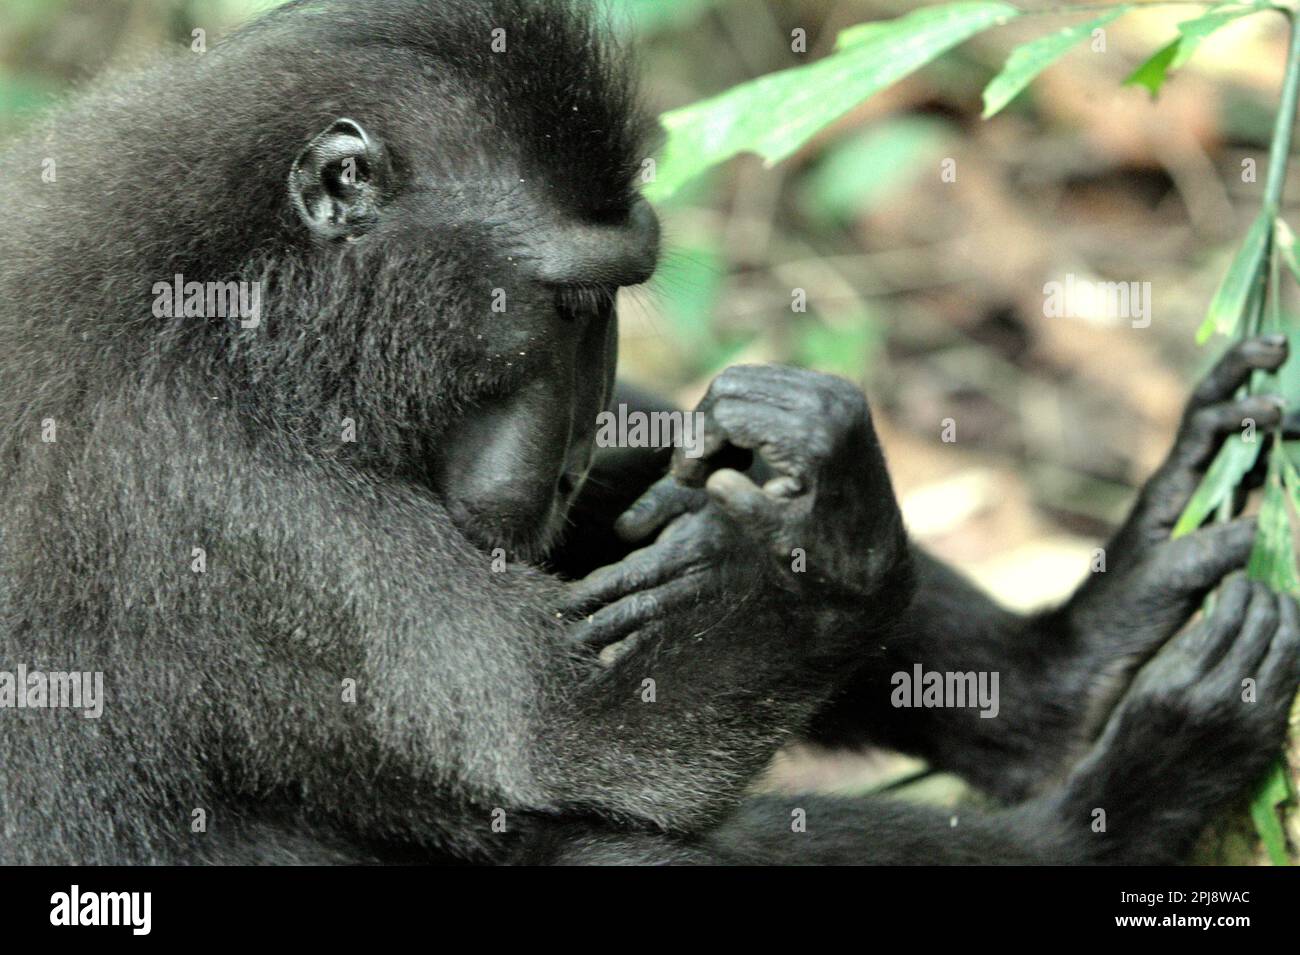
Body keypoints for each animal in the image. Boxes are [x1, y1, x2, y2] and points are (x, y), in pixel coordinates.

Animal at [0, 0, 1294, 866]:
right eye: (572, 303)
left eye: (621, 295)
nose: (572, 450)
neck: (231, 297)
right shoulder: (235, 502)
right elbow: (571, 743)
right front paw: (834, 548)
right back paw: (1099, 825)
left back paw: (1064, 677)